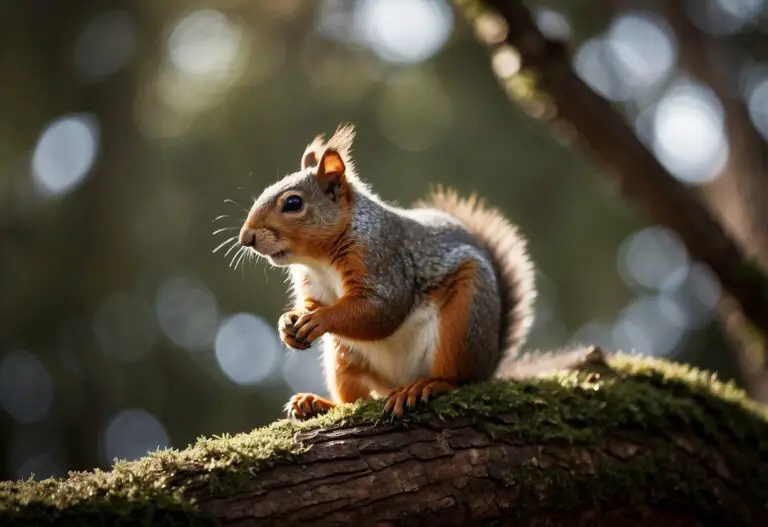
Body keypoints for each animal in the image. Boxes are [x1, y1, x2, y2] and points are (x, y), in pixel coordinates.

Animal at [237, 123, 607, 420]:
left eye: (293, 203)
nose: (246, 238)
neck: (320, 259)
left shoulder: (383, 258)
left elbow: (381, 310)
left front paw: (320, 319)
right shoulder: (311, 283)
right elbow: (312, 303)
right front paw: (289, 322)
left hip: (464, 322)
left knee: (456, 379)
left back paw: (426, 386)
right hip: (344, 357)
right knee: (353, 399)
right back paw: (317, 403)